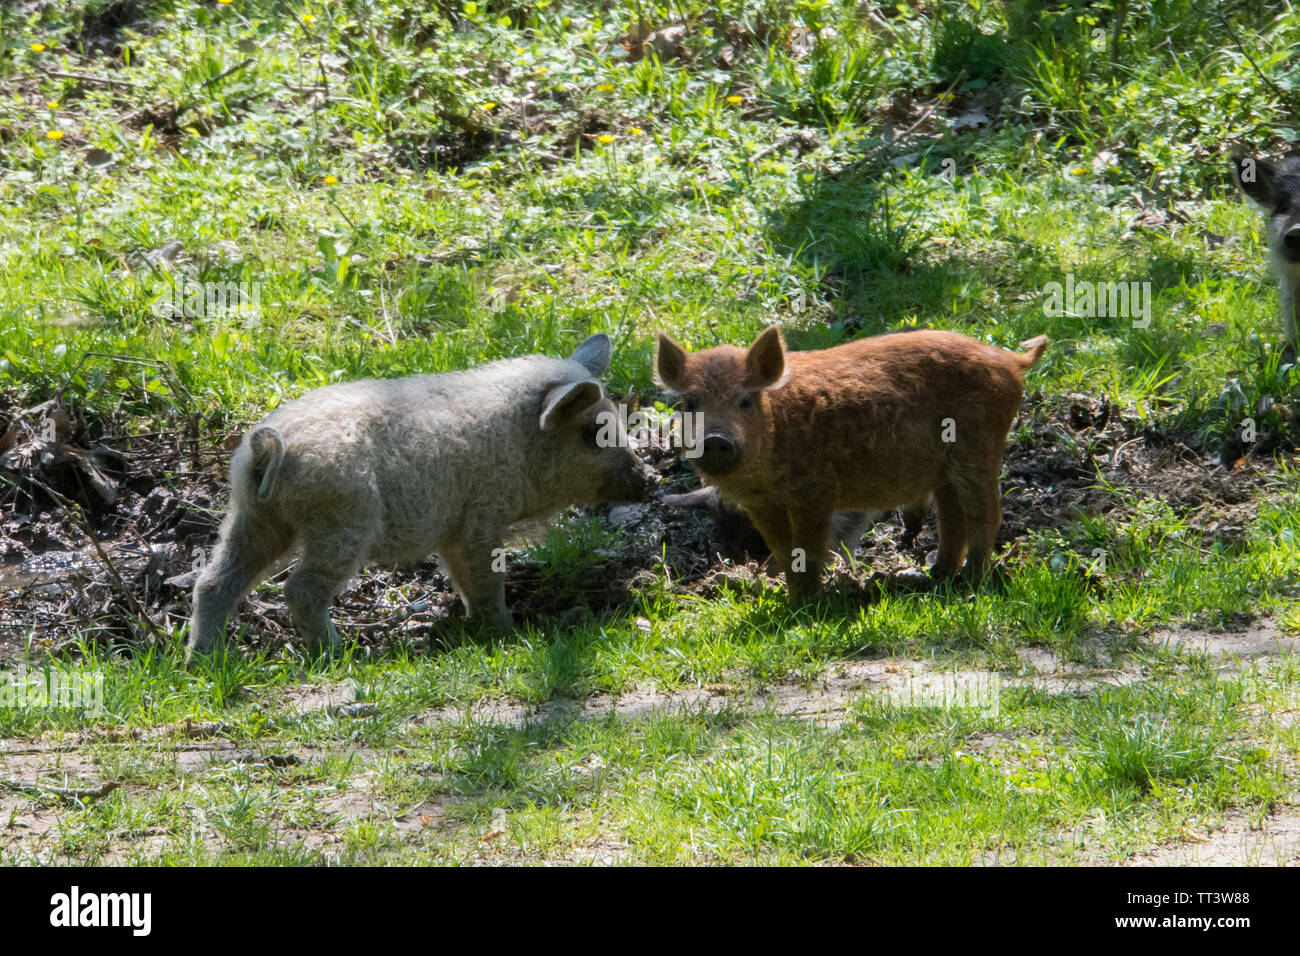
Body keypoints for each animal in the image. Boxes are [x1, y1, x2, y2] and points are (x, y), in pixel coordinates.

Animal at [187, 334, 657, 659]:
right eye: (592, 433)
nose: (649, 480)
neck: (518, 443)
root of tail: (268, 447)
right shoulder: (479, 520)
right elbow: (487, 581)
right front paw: (507, 633)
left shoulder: (452, 533)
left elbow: (466, 583)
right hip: (341, 523)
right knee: (299, 589)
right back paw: (343, 655)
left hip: (252, 518)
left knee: (213, 581)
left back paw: (205, 659)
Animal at [654, 326, 1048, 599]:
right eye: (690, 402)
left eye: (745, 401)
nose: (715, 439)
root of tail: (1011, 360)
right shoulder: (761, 504)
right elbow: (783, 548)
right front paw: (790, 599)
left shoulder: (816, 491)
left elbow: (810, 546)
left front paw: (809, 603)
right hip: (946, 470)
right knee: (953, 518)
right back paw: (938, 576)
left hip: (979, 451)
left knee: (987, 514)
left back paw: (971, 582)